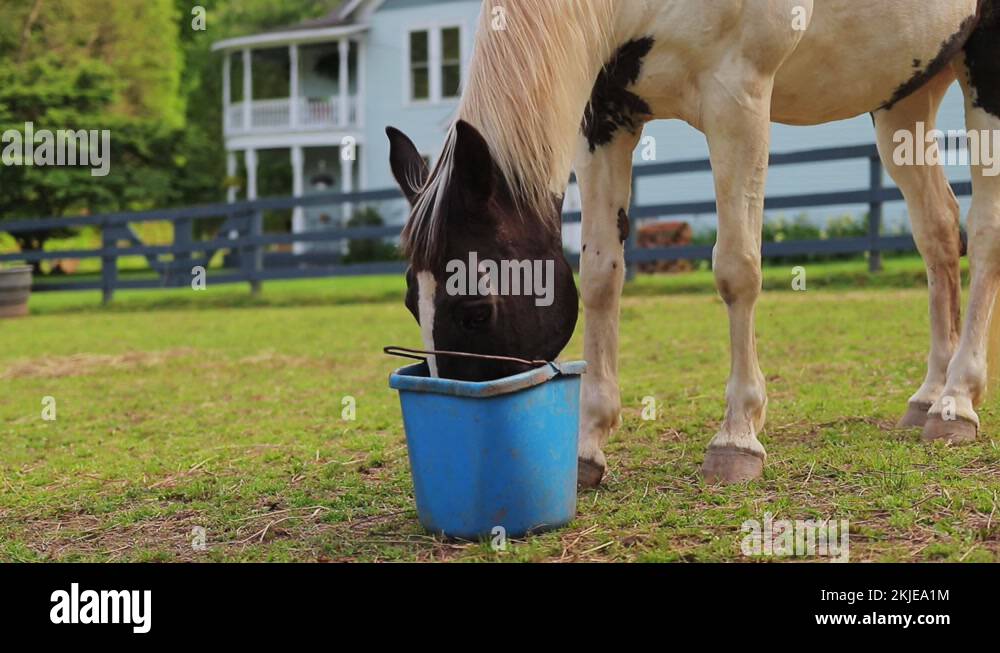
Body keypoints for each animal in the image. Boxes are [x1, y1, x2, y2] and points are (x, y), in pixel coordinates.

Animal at [386, 0, 1000, 487]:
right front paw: (587, 447)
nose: (459, 429)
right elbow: (602, 277)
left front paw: (737, 437)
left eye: (477, 310)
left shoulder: (739, 100)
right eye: (411, 303)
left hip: (983, 72)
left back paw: (957, 402)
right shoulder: (602, 120)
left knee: (985, 232)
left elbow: (736, 270)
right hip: (905, 95)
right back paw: (929, 395)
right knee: (937, 231)